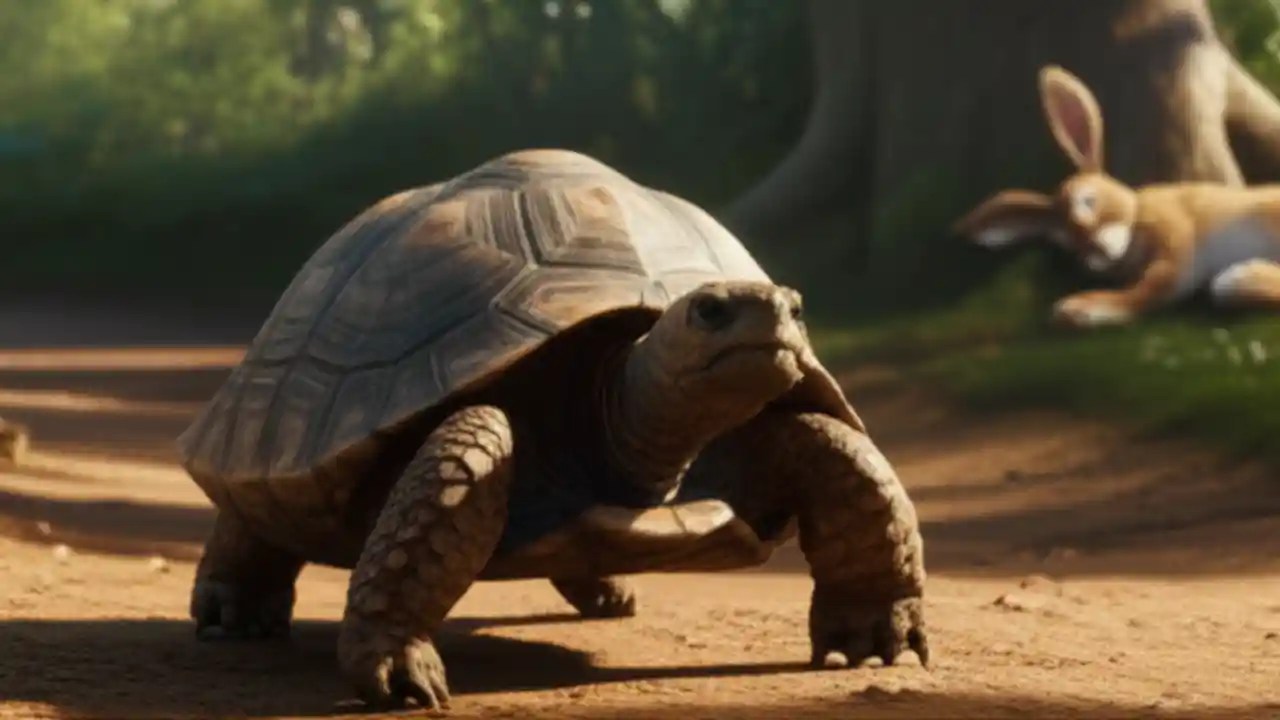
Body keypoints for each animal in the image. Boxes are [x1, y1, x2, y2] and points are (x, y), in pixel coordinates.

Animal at [954, 64, 1280, 329]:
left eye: (1088, 200)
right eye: (1064, 238)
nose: (1095, 252)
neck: (1134, 218)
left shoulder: (1177, 239)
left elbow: (1147, 292)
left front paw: (1077, 309)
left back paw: (1241, 278)